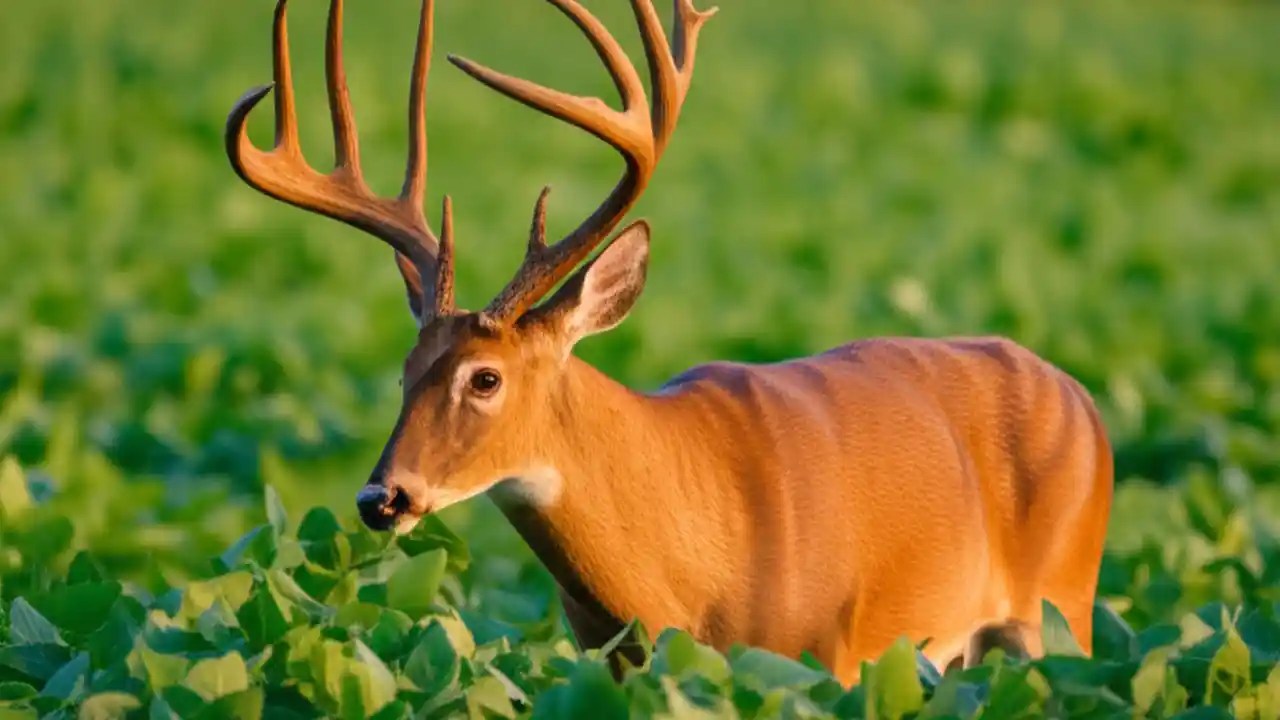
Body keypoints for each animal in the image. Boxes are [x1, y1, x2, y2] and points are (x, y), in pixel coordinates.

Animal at [225, 0, 1114, 686]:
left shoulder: (822, 658)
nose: (382, 499)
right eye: (403, 372)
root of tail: (1079, 395)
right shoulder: (611, 664)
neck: (678, 576)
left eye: (485, 378)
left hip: (1062, 608)